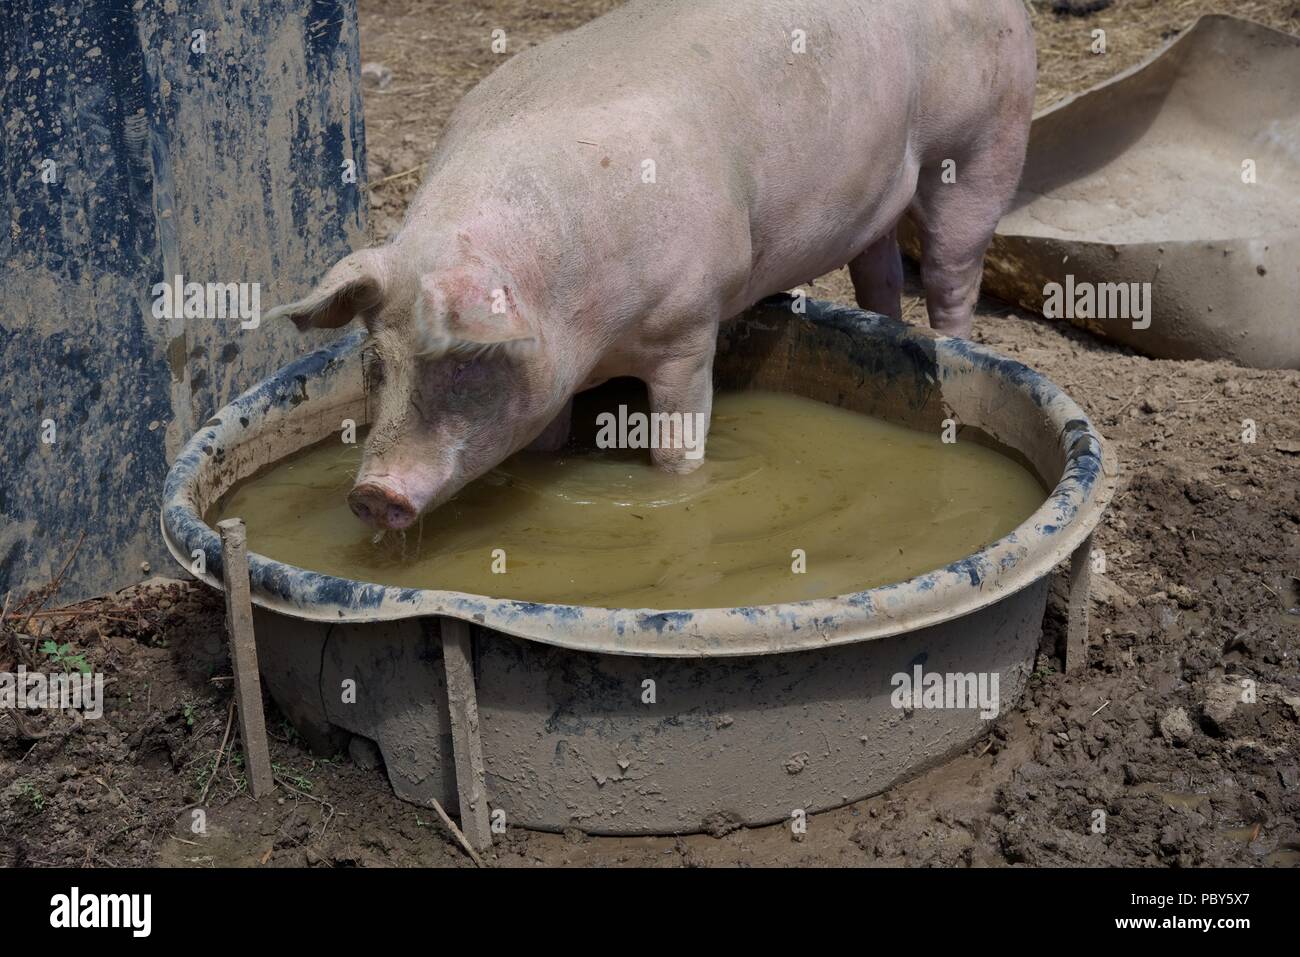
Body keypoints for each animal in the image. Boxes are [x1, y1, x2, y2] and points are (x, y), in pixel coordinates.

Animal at [266, 0, 1037, 530]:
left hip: (986, 139)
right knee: (880, 271)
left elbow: (675, 445)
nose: (372, 492)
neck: (585, 329)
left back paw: (950, 349)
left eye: (461, 363)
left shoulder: (689, 325)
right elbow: (544, 444)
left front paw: (677, 482)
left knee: (953, 269)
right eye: (375, 364)